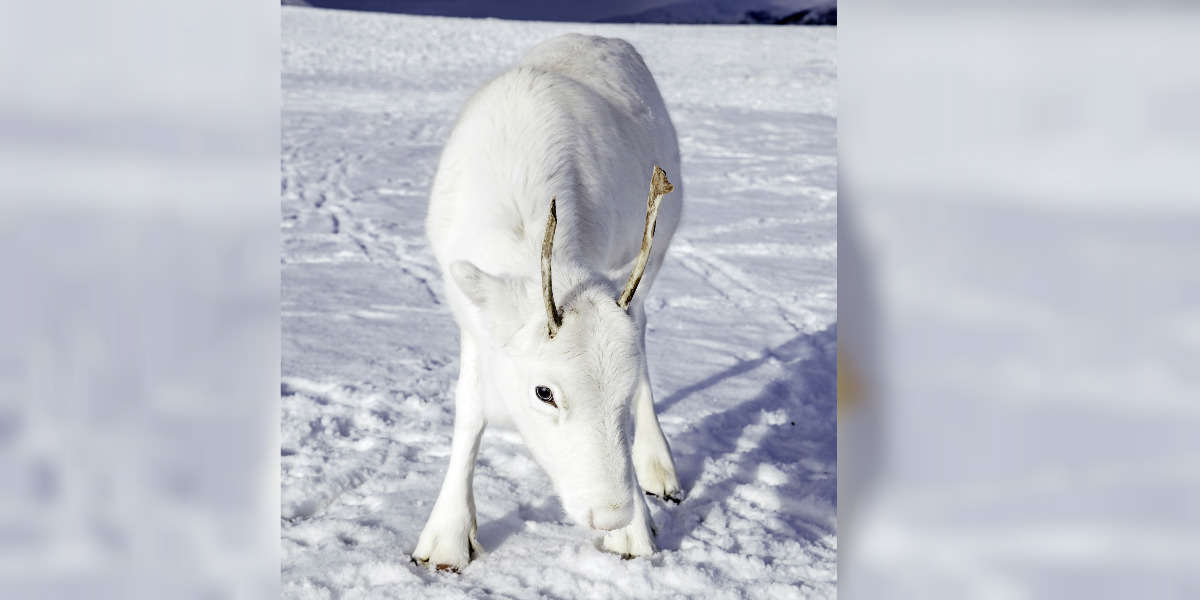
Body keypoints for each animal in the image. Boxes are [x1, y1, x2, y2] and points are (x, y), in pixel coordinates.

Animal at [412, 34, 684, 572]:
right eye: (544, 392)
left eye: (620, 390)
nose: (611, 515)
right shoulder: (475, 320)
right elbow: (469, 408)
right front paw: (447, 539)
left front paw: (636, 534)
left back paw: (658, 467)